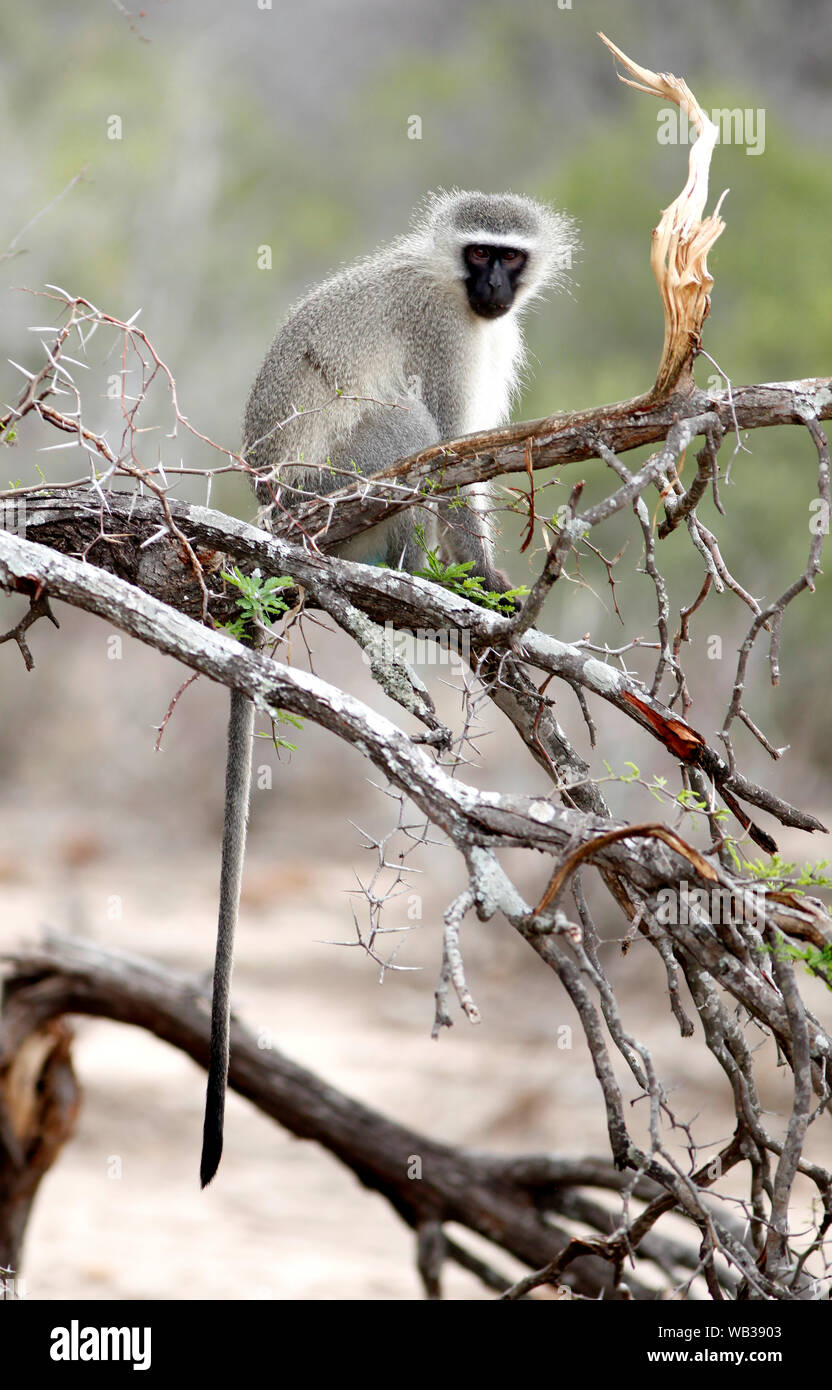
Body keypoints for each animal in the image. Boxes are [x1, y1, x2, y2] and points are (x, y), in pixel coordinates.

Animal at [199, 189, 576, 1186]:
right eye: (478, 253)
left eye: (510, 258)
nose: (493, 288)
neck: (456, 291)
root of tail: (270, 508)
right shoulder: (443, 335)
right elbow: (454, 456)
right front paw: (481, 581)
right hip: (332, 489)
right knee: (405, 430)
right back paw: (420, 575)